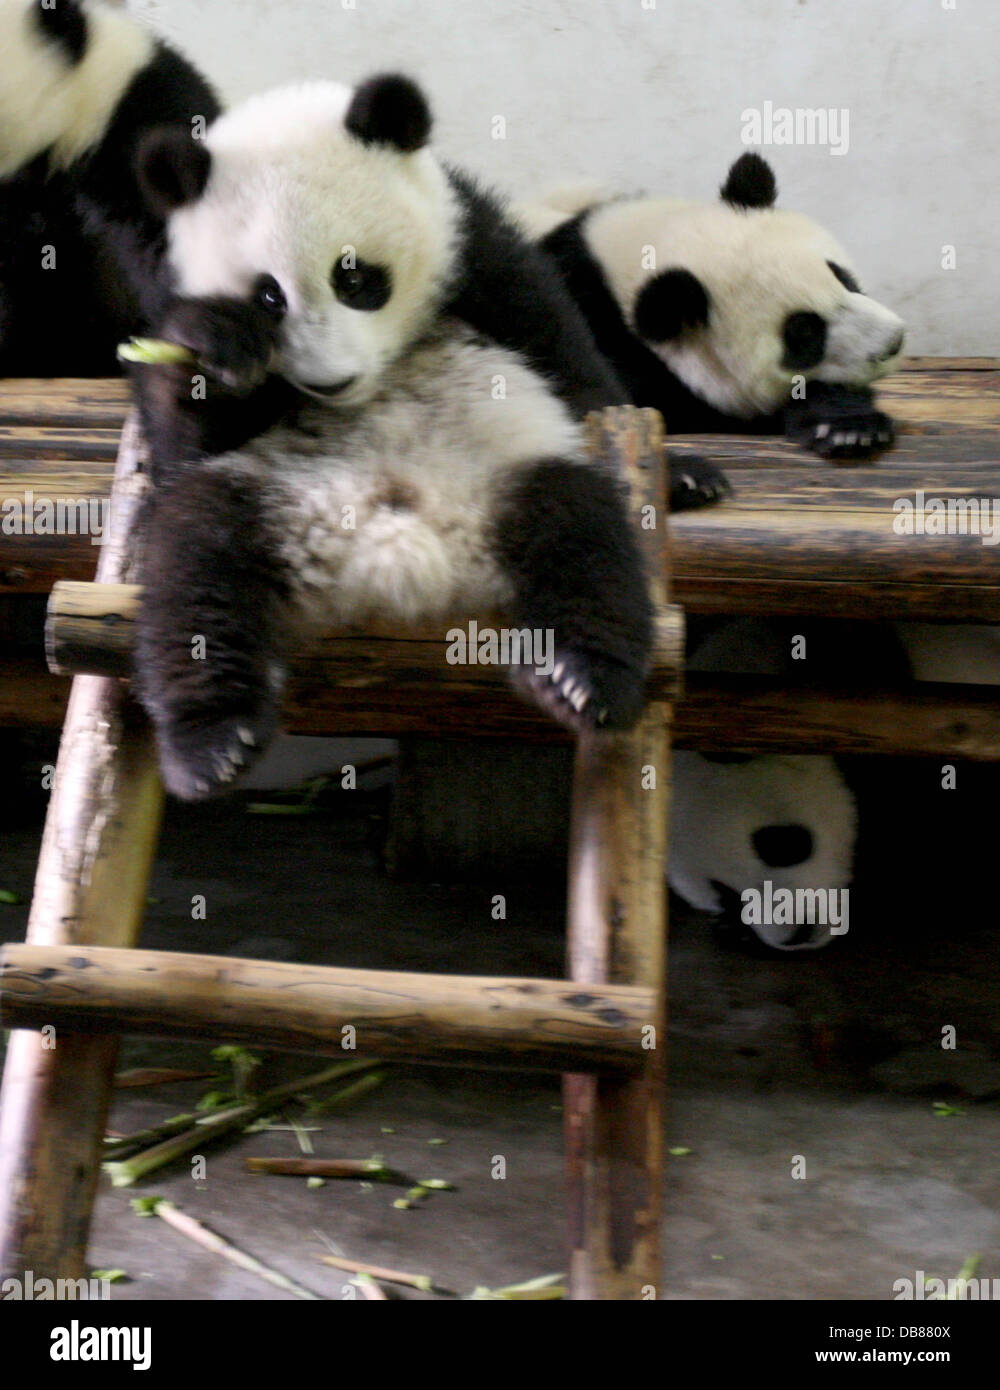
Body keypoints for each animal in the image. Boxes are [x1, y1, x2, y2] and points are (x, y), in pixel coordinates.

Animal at [127, 75, 661, 800]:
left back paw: (581, 679)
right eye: (268, 297)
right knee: (194, 565)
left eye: (354, 278)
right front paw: (217, 343)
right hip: (267, 495)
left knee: (584, 536)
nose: (330, 382)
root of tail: (397, 563)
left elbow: (563, 353)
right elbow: (185, 445)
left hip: (507, 476)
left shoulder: (472, 248)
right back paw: (212, 745)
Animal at [522, 153, 906, 460]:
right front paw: (842, 424)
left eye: (842, 277)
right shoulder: (606, 339)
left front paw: (849, 422)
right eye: (805, 334)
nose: (893, 343)